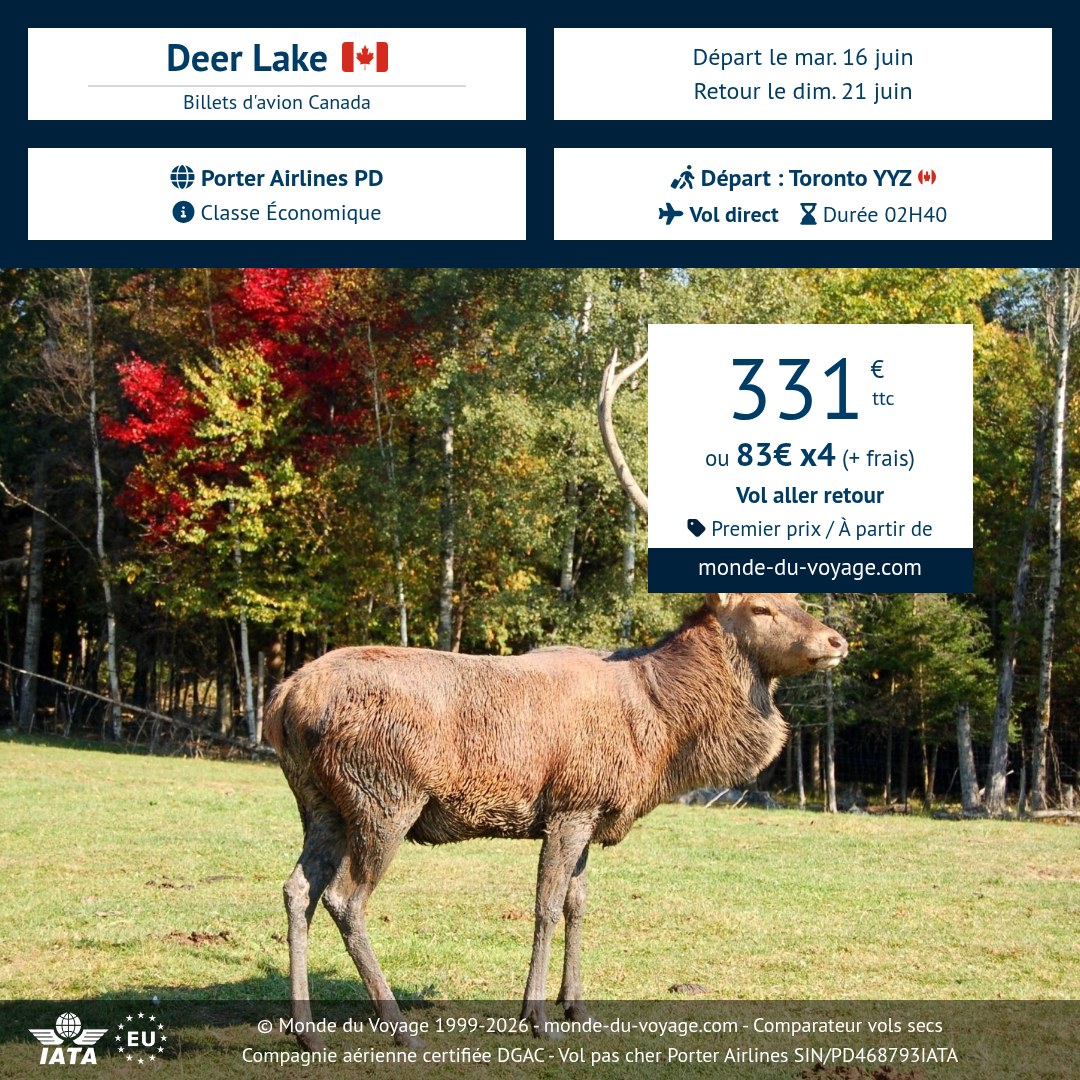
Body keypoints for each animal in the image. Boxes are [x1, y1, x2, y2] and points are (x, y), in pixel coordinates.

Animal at [265, 349, 848, 1048]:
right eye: (762, 606)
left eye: (795, 594)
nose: (837, 639)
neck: (658, 728)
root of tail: (283, 699)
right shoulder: (573, 801)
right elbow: (544, 904)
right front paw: (537, 1014)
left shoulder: (595, 811)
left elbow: (578, 902)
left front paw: (579, 1006)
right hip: (384, 794)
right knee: (344, 896)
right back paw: (398, 1024)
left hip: (318, 798)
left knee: (297, 886)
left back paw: (305, 1027)